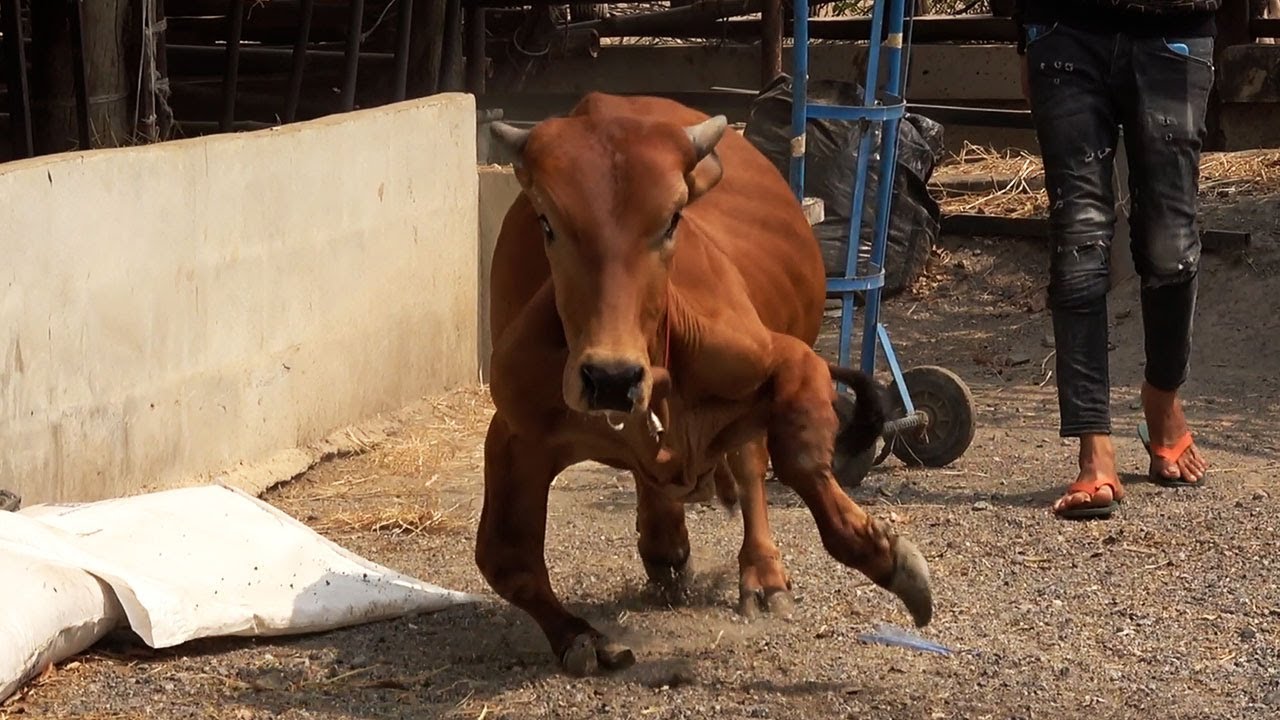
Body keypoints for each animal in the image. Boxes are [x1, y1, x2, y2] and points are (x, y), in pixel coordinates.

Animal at [479, 92, 933, 676]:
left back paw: (760, 572)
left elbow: (800, 465)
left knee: (751, 465)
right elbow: (504, 559)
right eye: (547, 222)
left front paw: (888, 558)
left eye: (672, 220)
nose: (610, 377)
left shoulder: (791, 363)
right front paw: (579, 636)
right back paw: (665, 545)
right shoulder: (517, 431)